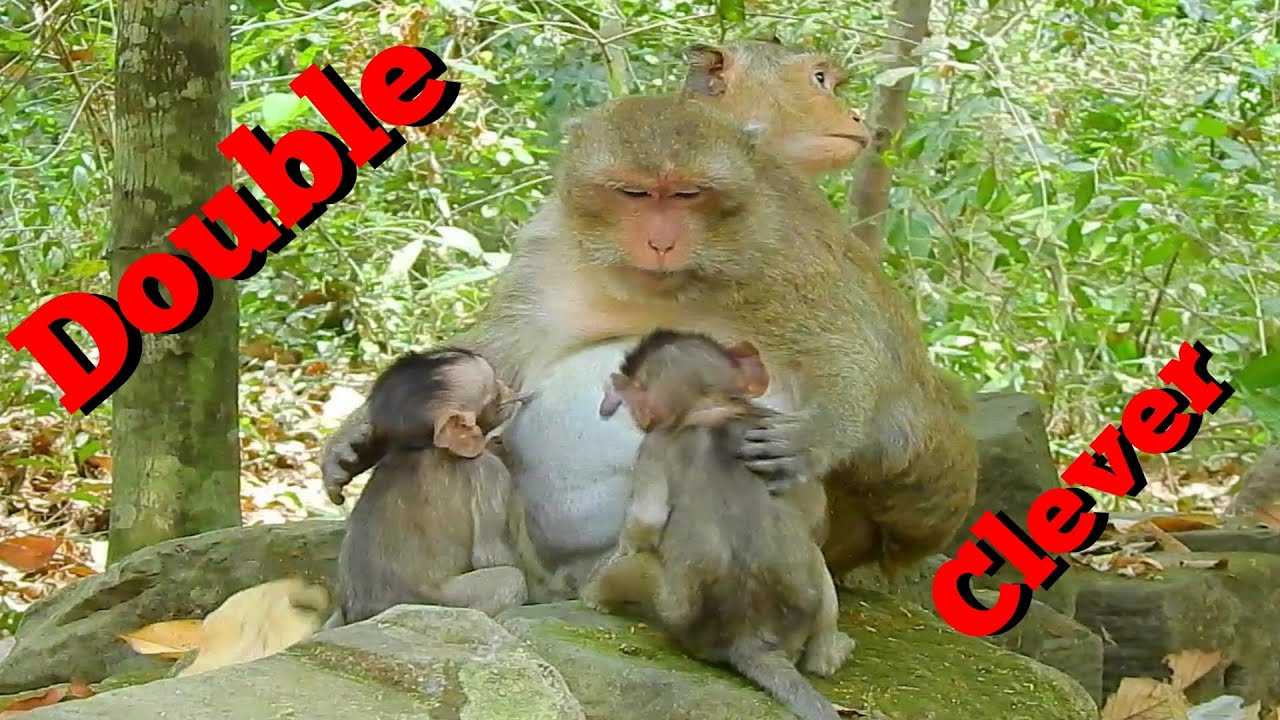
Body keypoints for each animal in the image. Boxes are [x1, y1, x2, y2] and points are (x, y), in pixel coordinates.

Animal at [320, 80, 978, 597]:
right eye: (634, 193)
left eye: (687, 194)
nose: (661, 241)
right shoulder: (551, 247)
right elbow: (504, 349)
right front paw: (360, 432)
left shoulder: (779, 253)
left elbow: (851, 349)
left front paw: (817, 432)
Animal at [329, 349, 530, 626]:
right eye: (496, 392)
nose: (510, 388)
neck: (424, 447)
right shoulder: (491, 473)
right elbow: (490, 557)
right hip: (442, 600)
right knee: (510, 580)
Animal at [580, 329, 854, 720]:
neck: (710, 407)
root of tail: (749, 638)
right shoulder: (775, 426)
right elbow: (814, 514)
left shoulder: (654, 445)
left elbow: (647, 521)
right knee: (818, 559)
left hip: (668, 603)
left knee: (634, 568)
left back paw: (596, 596)